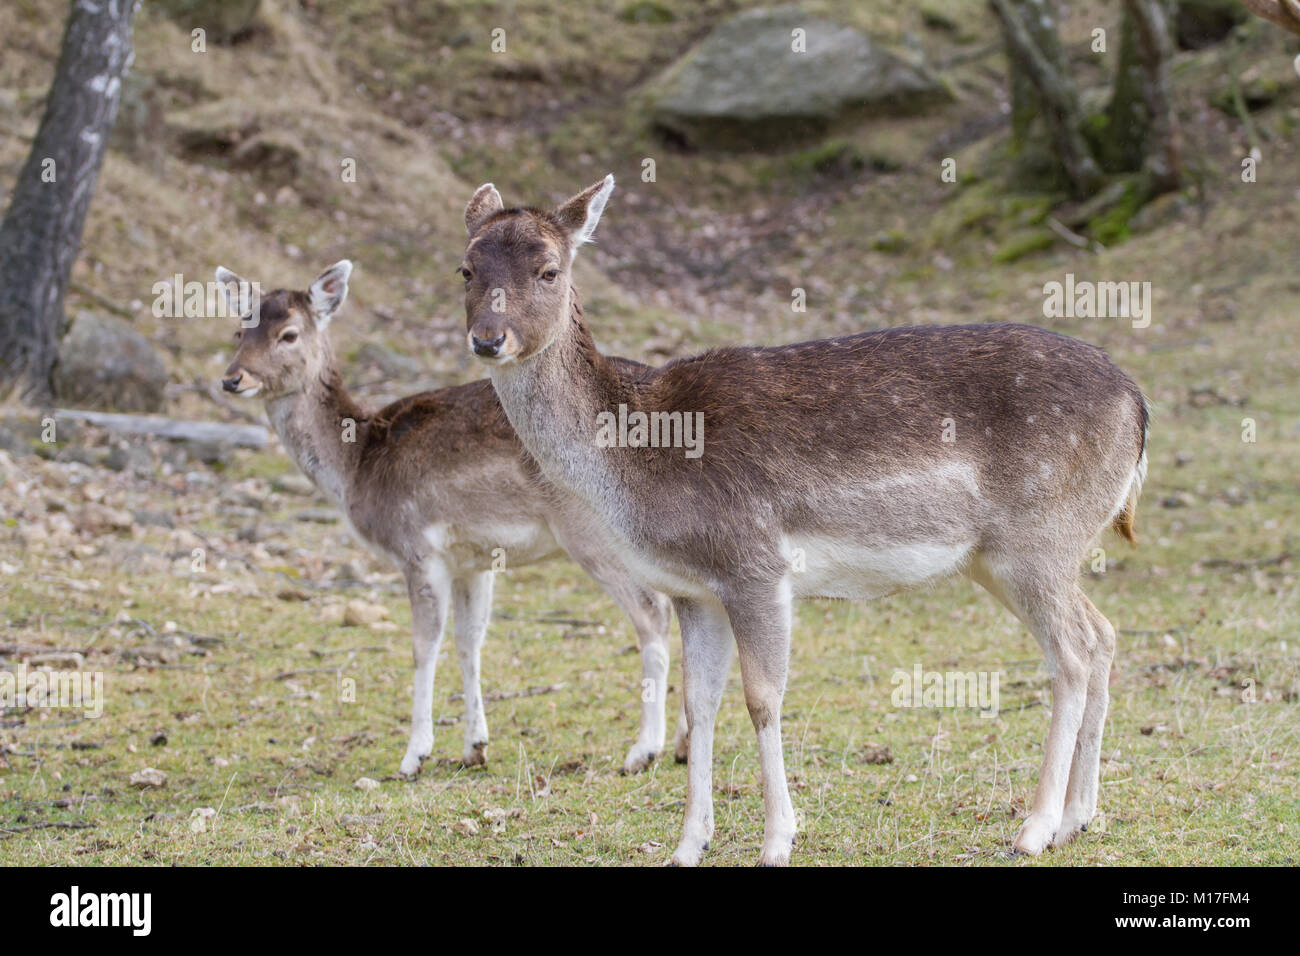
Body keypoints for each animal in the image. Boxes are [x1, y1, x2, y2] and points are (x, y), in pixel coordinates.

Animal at [215, 260, 684, 778]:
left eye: (289, 334)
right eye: (239, 329)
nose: (232, 379)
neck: (357, 464)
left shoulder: (417, 547)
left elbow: (424, 646)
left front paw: (413, 755)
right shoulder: (472, 560)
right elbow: (469, 641)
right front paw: (474, 746)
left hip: (592, 531)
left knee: (654, 612)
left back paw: (644, 750)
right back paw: (683, 743)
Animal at [459, 176, 1150, 866]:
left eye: (549, 270)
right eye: (465, 268)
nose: (487, 339)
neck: (636, 460)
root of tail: (1140, 406)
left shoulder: (754, 566)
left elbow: (762, 699)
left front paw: (777, 841)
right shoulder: (693, 590)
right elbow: (699, 704)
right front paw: (687, 846)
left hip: (1037, 541)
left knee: (1073, 652)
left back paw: (1034, 828)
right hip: (1010, 558)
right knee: (1104, 633)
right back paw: (1078, 818)